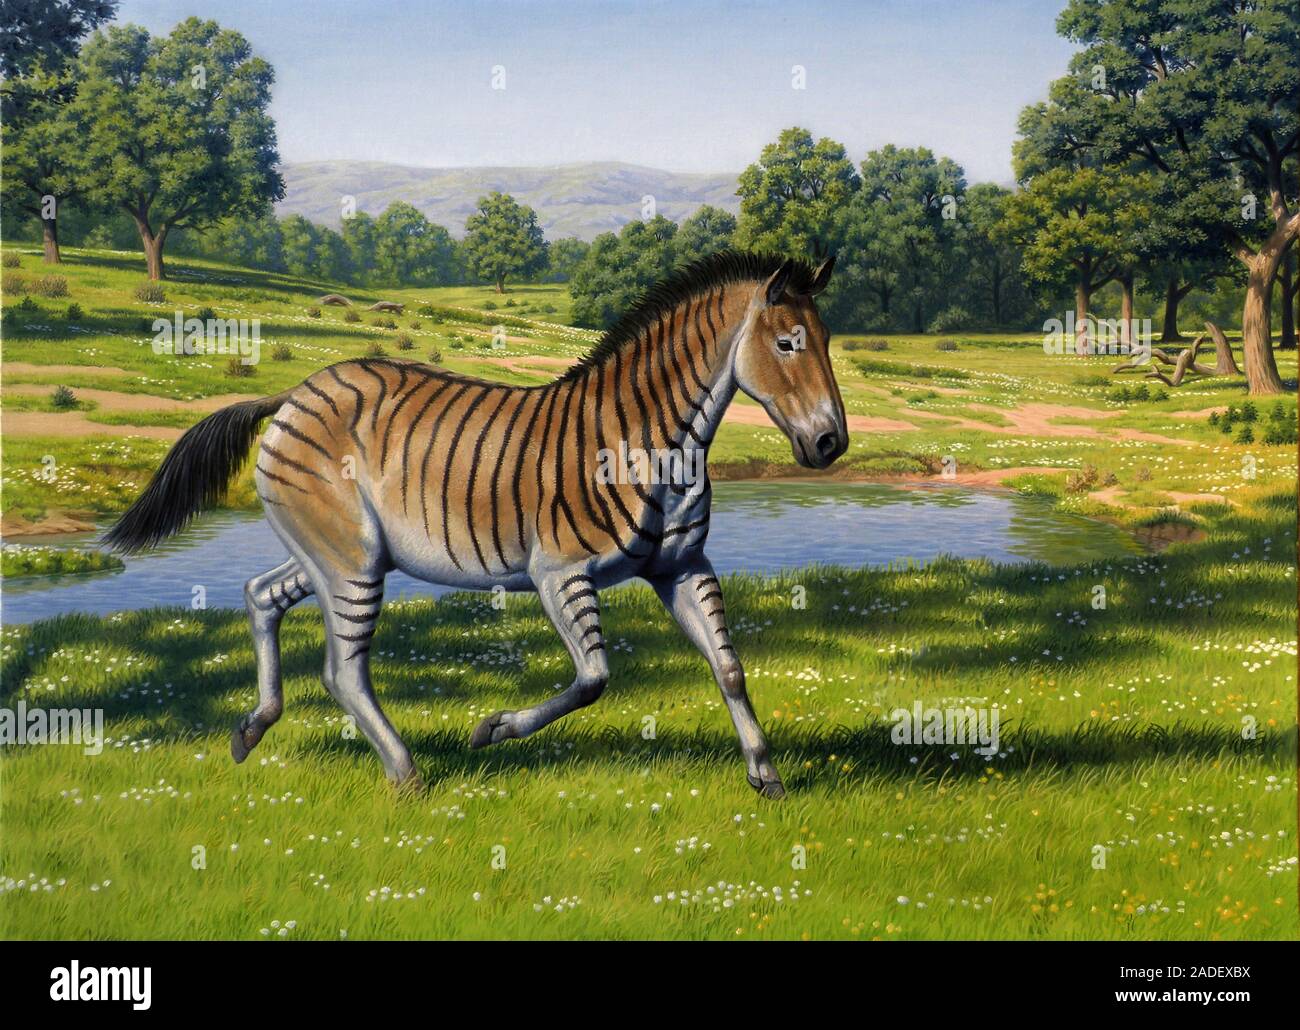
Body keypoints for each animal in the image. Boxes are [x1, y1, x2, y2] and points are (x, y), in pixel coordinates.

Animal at [106, 252, 847, 798]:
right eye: (788, 344)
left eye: (828, 342)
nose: (832, 445)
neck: (653, 439)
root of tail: (295, 391)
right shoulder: (559, 572)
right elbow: (593, 678)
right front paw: (492, 729)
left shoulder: (681, 567)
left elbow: (729, 667)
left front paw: (766, 775)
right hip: (349, 561)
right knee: (343, 671)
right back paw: (407, 775)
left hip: (335, 553)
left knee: (261, 595)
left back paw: (252, 729)